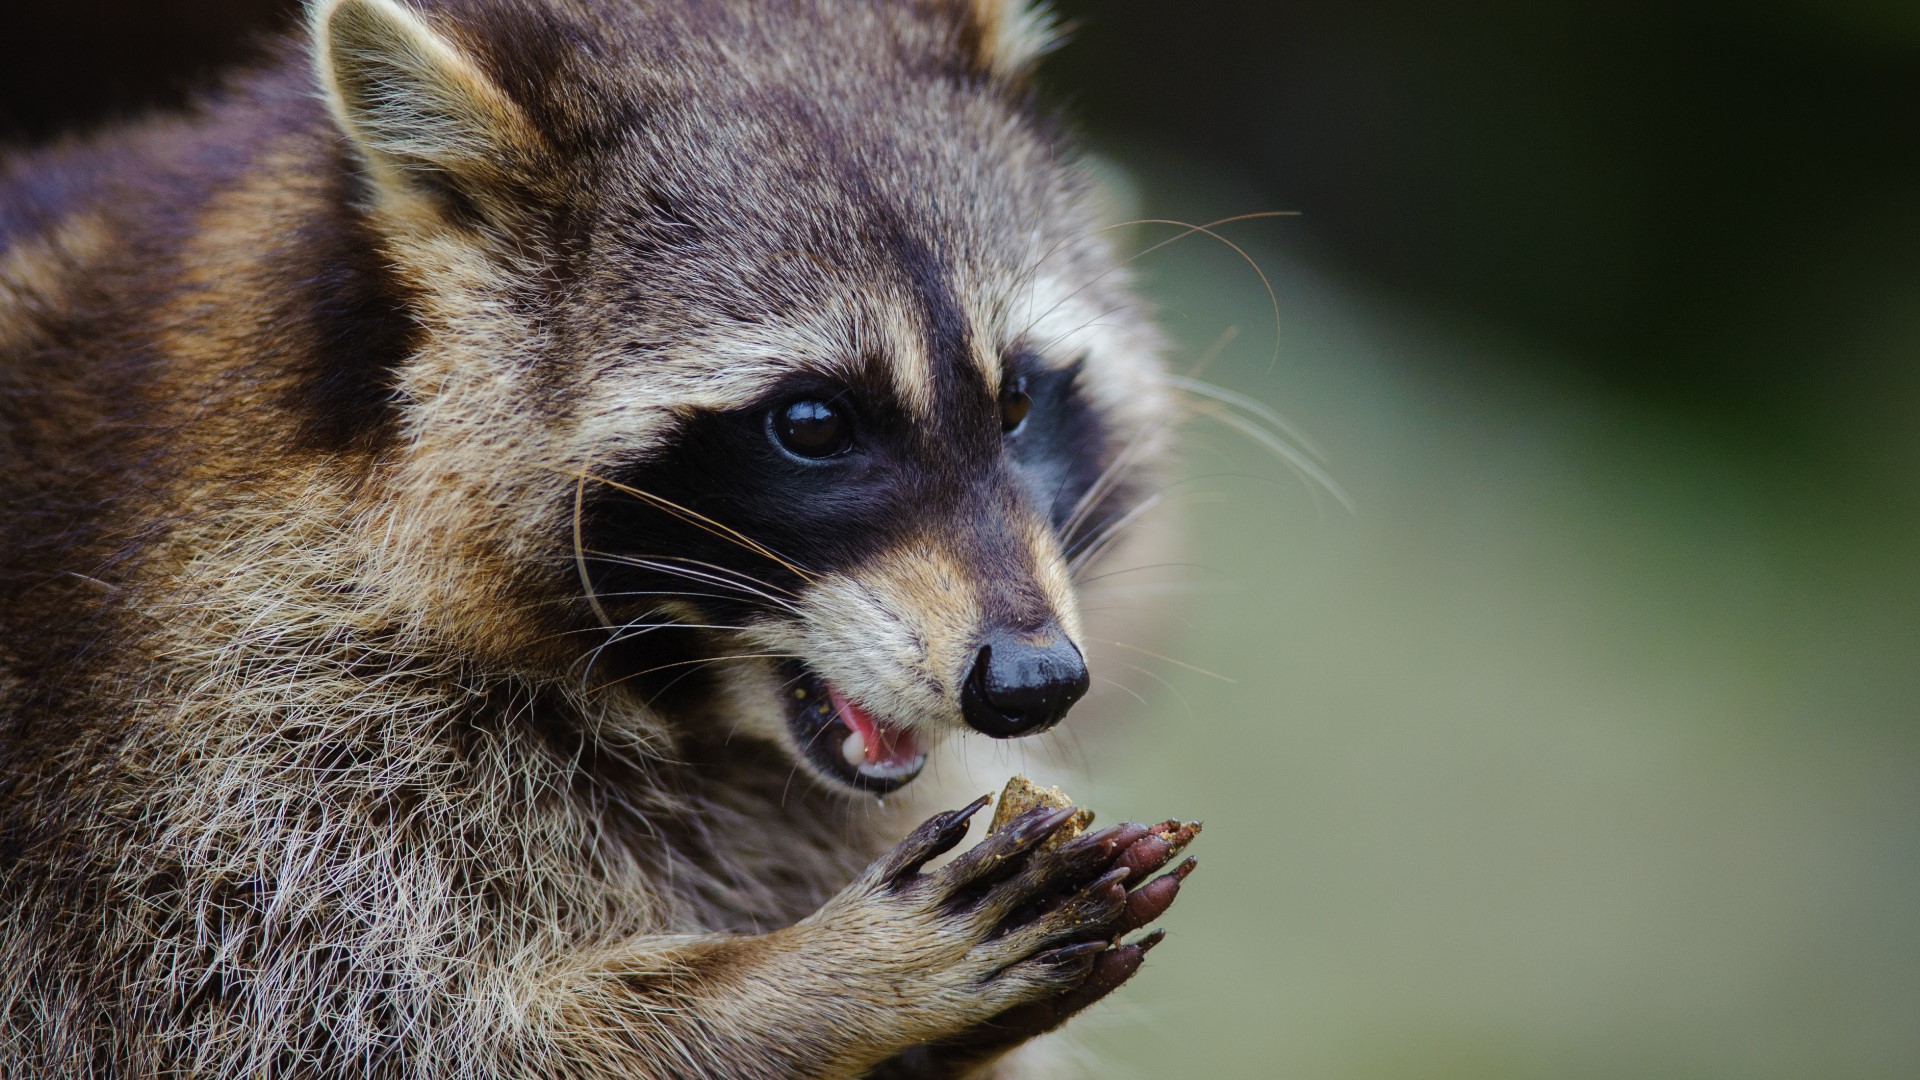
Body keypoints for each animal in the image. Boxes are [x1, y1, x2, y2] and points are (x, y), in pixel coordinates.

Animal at [0, 0, 1195, 1076]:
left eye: (1019, 402)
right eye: (811, 424)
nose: (1033, 682)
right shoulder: (209, 738)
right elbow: (339, 1027)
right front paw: (789, 993)